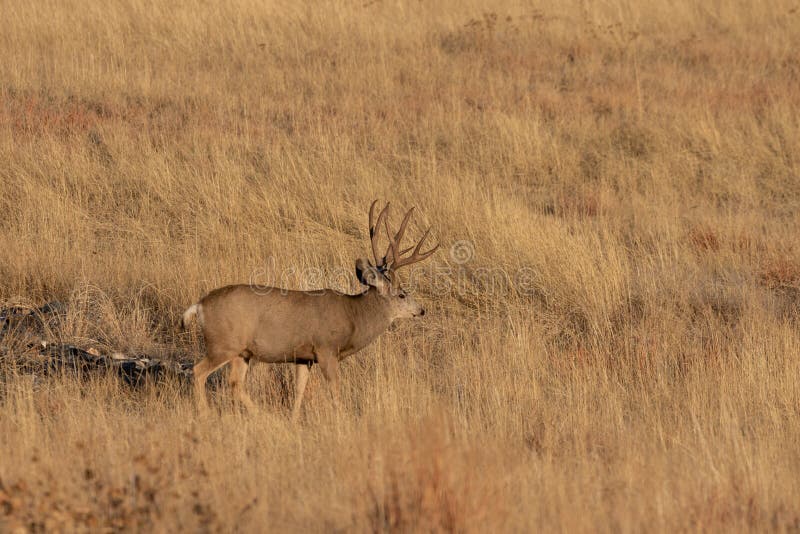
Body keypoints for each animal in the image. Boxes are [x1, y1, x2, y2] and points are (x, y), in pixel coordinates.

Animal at [181, 200, 438, 421]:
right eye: (402, 294)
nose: (422, 310)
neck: (353, 316)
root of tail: (199, 306)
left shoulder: (303, 357)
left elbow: (299, 390)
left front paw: (294, 420)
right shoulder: (326, 349)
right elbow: (335, 390)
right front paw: (342, 419)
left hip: (242, 352)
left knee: (235, 383)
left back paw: (262, 416)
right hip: (223, 344)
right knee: (198, 371)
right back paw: (206, 415)